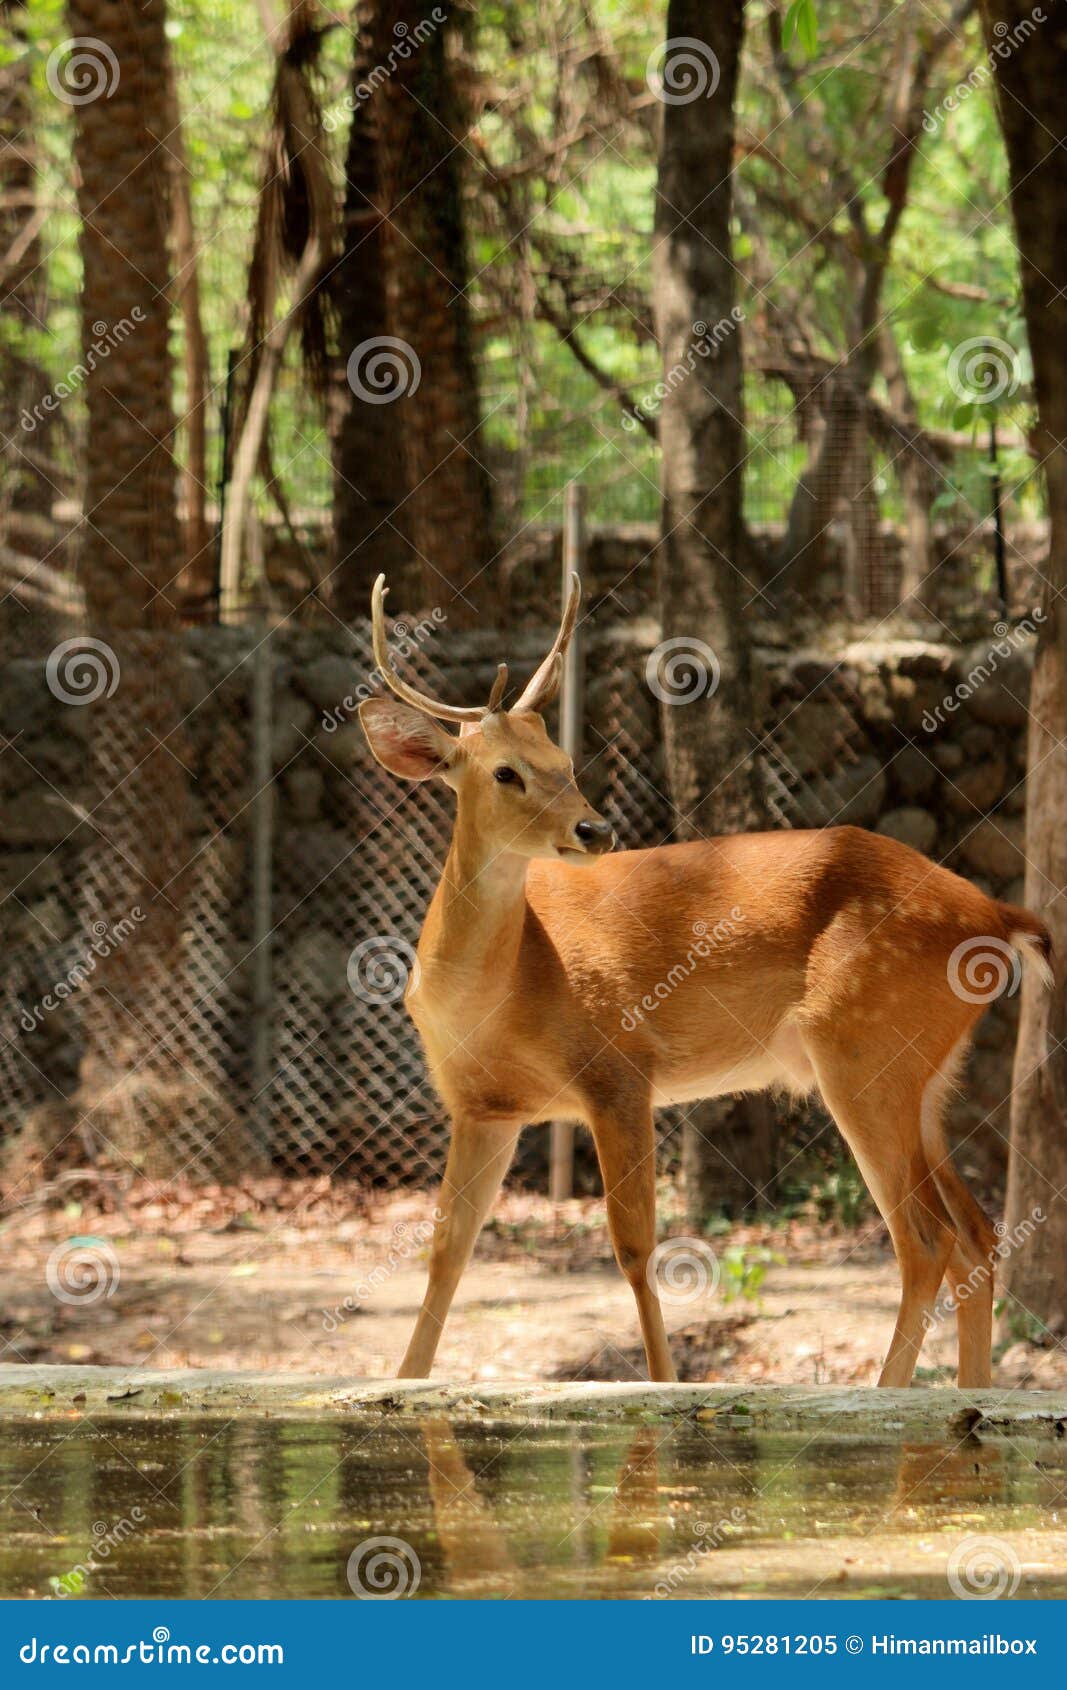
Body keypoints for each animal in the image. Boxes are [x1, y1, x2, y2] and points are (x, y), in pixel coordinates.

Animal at [358, 573, 1052, 1391]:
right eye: (505, 771)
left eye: (565, 759)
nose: (594, 829)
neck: (501, 986)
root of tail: (995, 913)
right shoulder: (484, 1105)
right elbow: (446, 1255)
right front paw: (403, 1385)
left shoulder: (619, 1068)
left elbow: (634, 1251)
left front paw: (661, 1387)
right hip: (927, 1074)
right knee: (976, 1233)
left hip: (863, 1049)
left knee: (925, 1238)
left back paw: (888, 1399)